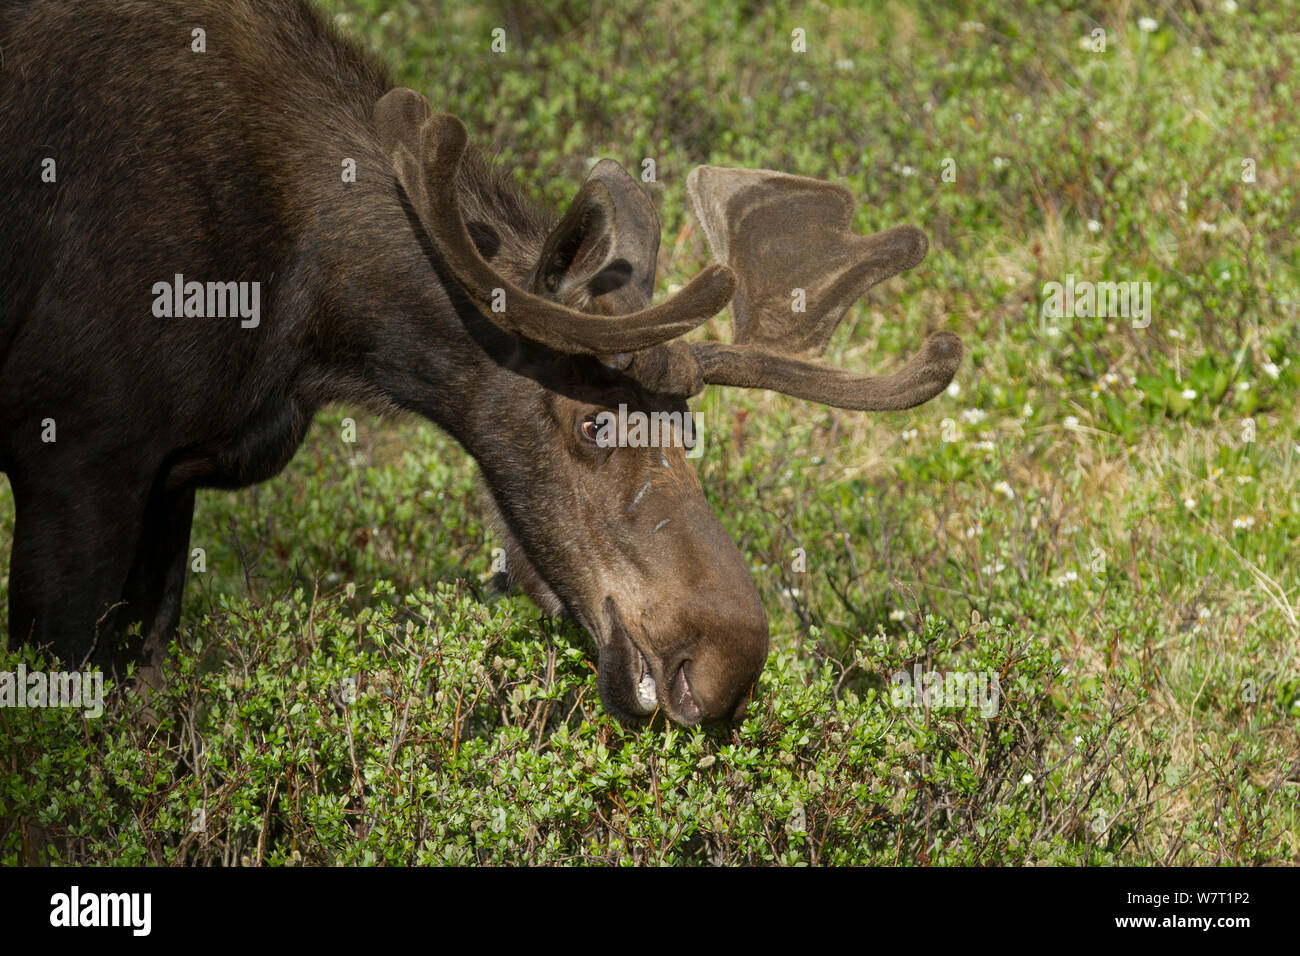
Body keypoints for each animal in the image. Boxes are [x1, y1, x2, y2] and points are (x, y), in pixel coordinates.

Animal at [0, 0, 961, 726]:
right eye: (590, 421)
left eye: (690, 429)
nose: (727, 663)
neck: (310, 316)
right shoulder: (76, 461)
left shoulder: (171, 479)